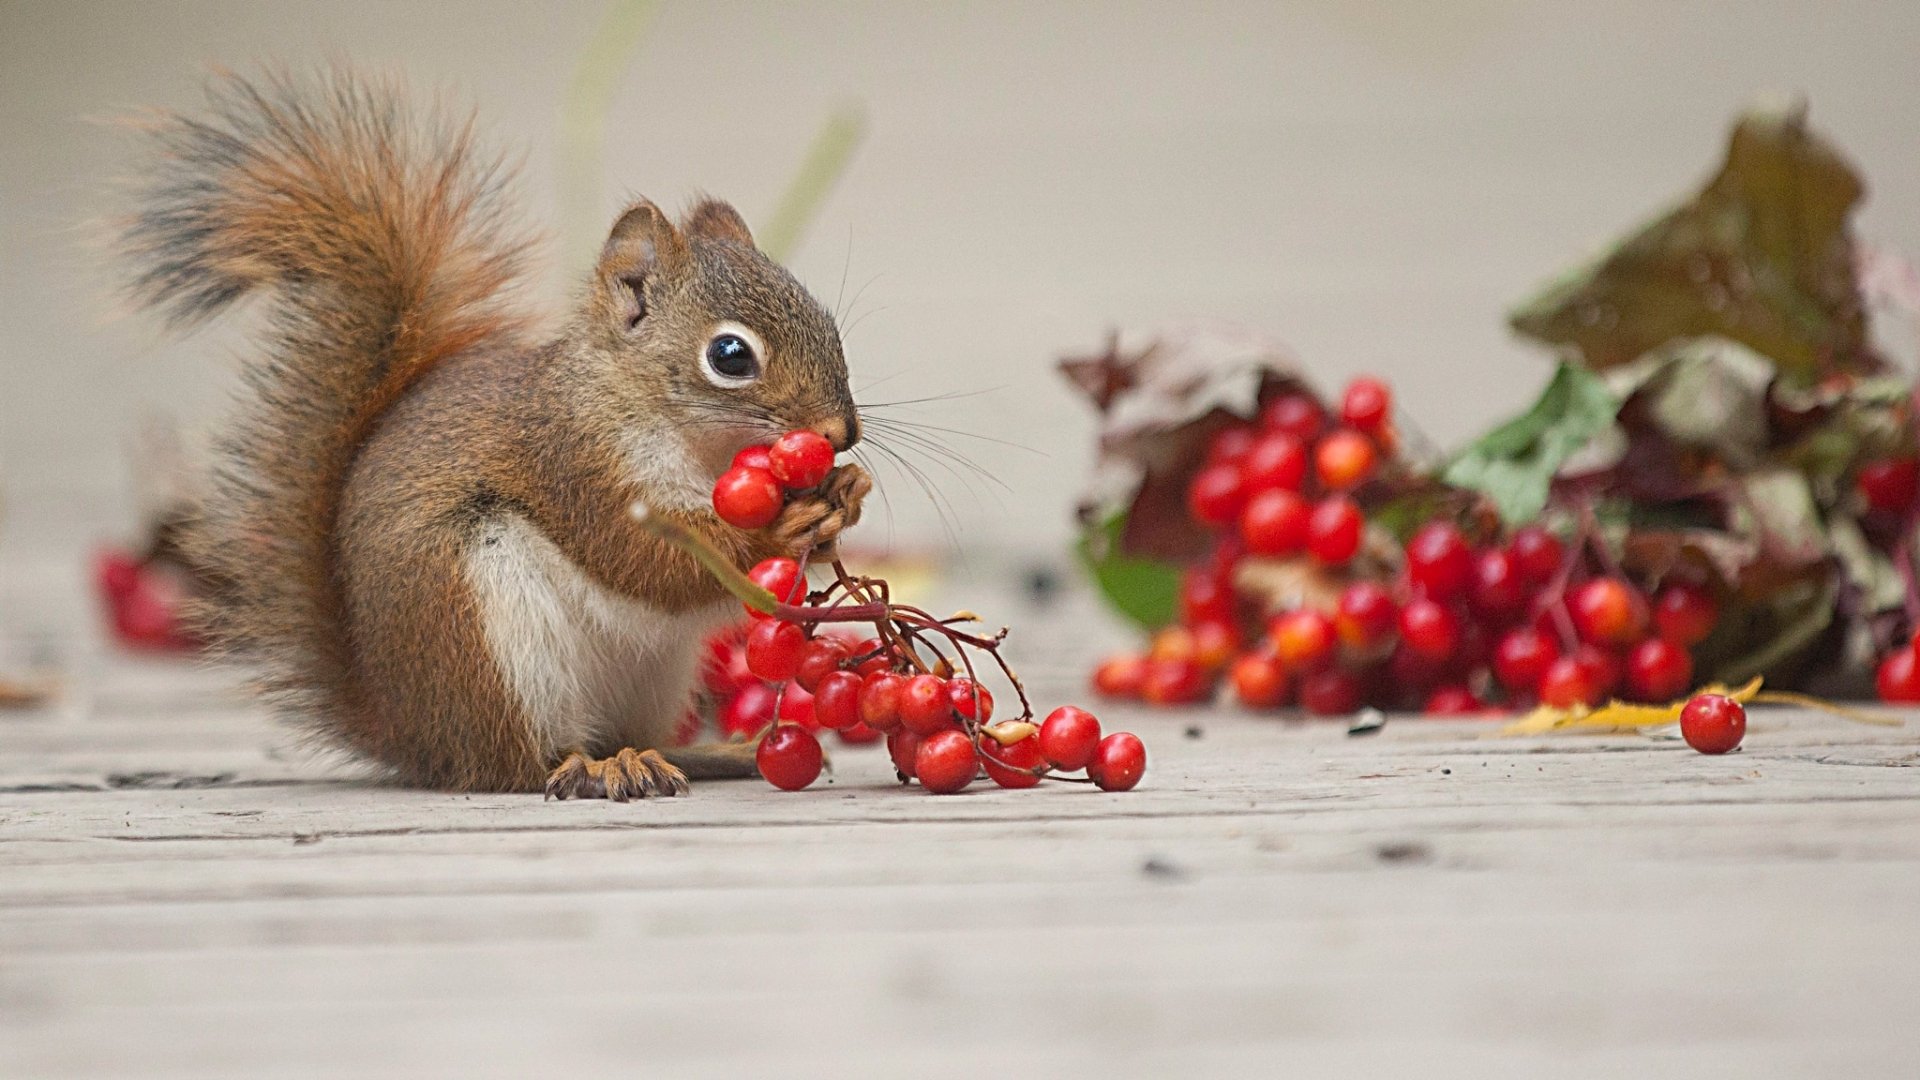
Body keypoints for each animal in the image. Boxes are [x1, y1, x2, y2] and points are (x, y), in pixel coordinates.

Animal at [120, 69, 871, 799]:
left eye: (827, 324)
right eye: (730, 355)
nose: (842, 432)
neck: (686, 439)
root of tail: (414, 735)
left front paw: (847, 491)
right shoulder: (574, 464)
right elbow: (647, 560)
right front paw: (777, 529)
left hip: (651, 676)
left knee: (625, 734)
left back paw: (705, 754)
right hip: (490, 632)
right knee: (519, 765)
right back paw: (594, 770)